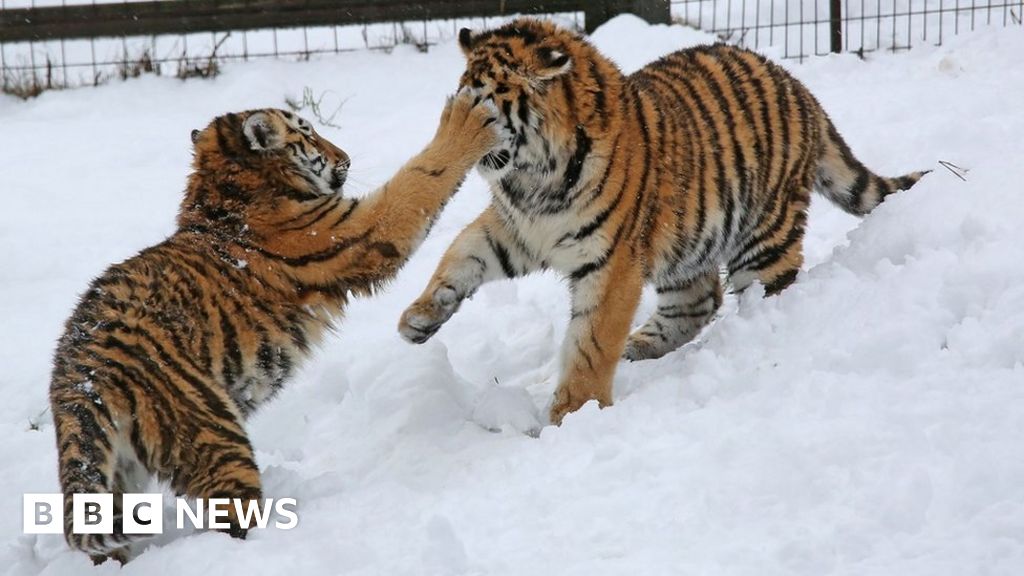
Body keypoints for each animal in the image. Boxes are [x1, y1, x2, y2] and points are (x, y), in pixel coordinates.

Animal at [49, 92, 497, 562]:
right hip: (213, 434)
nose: (346, 159)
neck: (228, 185)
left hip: (117, 471)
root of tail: (75, 378)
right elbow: (422, 177)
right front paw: (466, 118)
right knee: (231, 515)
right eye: (308, 133)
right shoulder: (354, 230)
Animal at [398, 18, 928, 425]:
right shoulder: (512, 231)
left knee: (767, 291)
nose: (454, 134)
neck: (533, 179)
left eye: (484, 102)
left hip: (764, 240)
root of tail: (802, 90)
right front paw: (419, 319)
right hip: (687, 244)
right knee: (699, 301)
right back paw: (640, 346)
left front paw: (573, 413)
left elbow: (592, 341)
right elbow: (459, 258)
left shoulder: (612, 261)